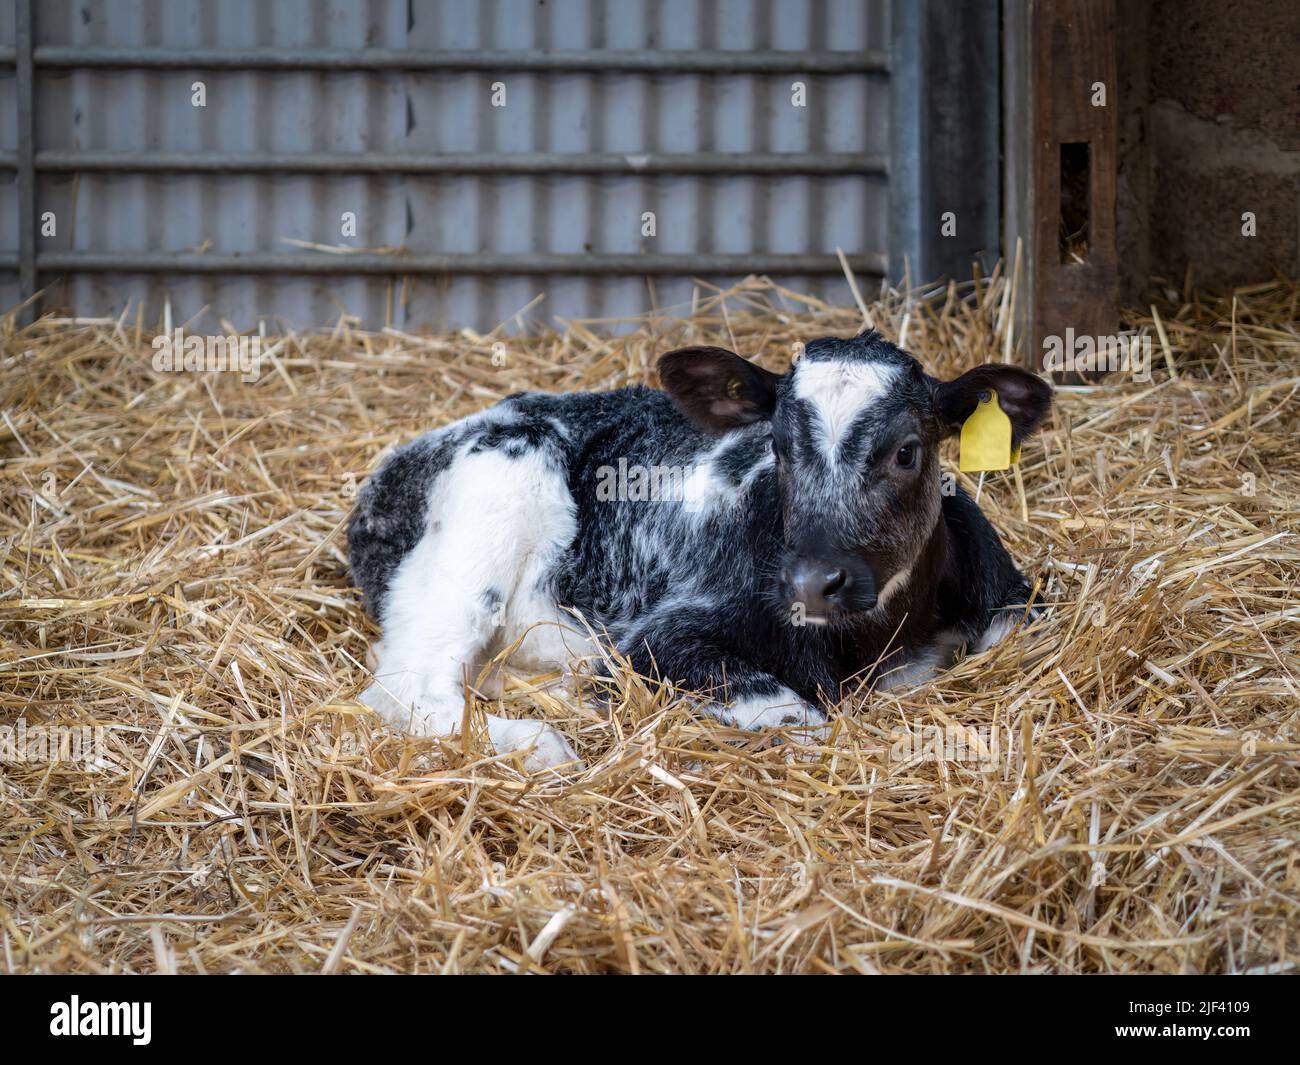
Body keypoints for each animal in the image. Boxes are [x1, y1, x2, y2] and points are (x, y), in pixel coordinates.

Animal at [346, 330, 1052, 769]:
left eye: (907, 451)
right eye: (778, 445)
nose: (810, 582)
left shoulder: (1015, 602)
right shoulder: (659, 638)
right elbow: (801, 716)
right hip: (490, 496)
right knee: (405, 685)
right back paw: (540, 744)